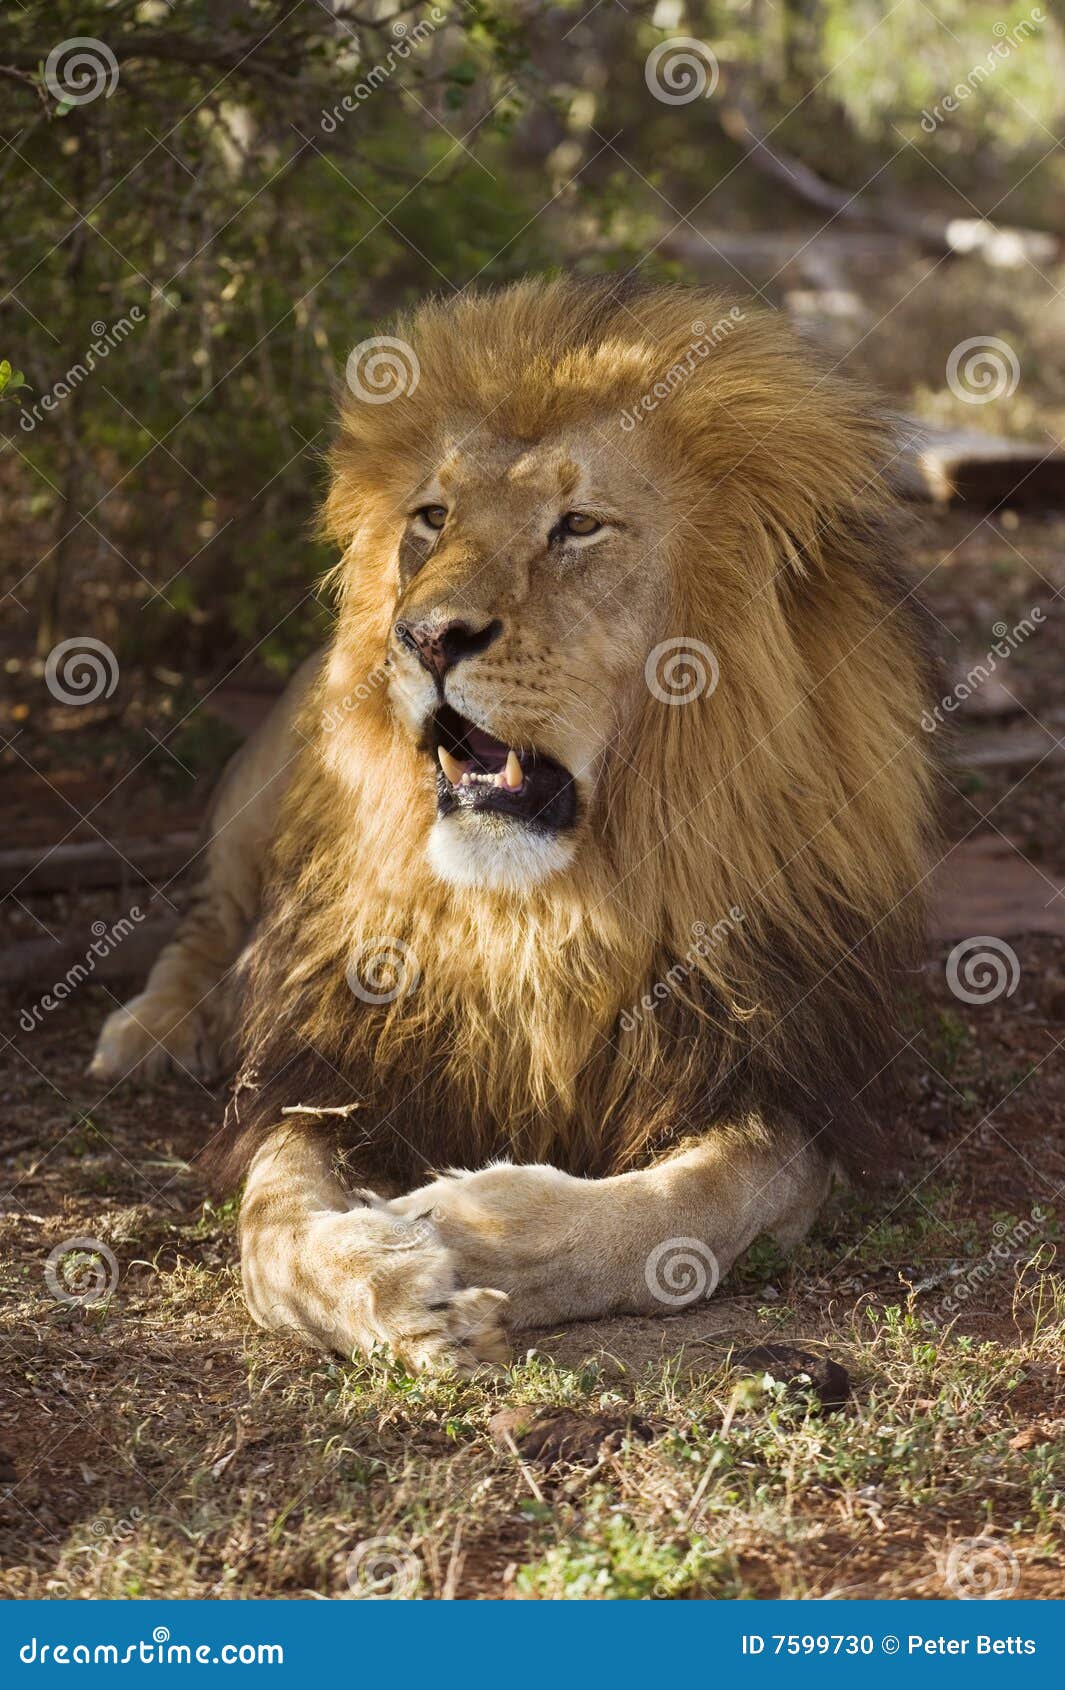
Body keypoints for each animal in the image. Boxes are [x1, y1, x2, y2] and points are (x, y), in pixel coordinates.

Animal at [91, 277, 936, 1372]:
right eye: (432, 517)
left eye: (577, 525)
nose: (424, 636)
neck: (546, 906)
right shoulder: (339, 1054)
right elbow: (271, 1224)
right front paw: (383, 1277)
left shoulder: (778, 1067)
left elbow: (685, 1204)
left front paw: (463, 1225)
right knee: (211, 918)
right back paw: (154, 1027)